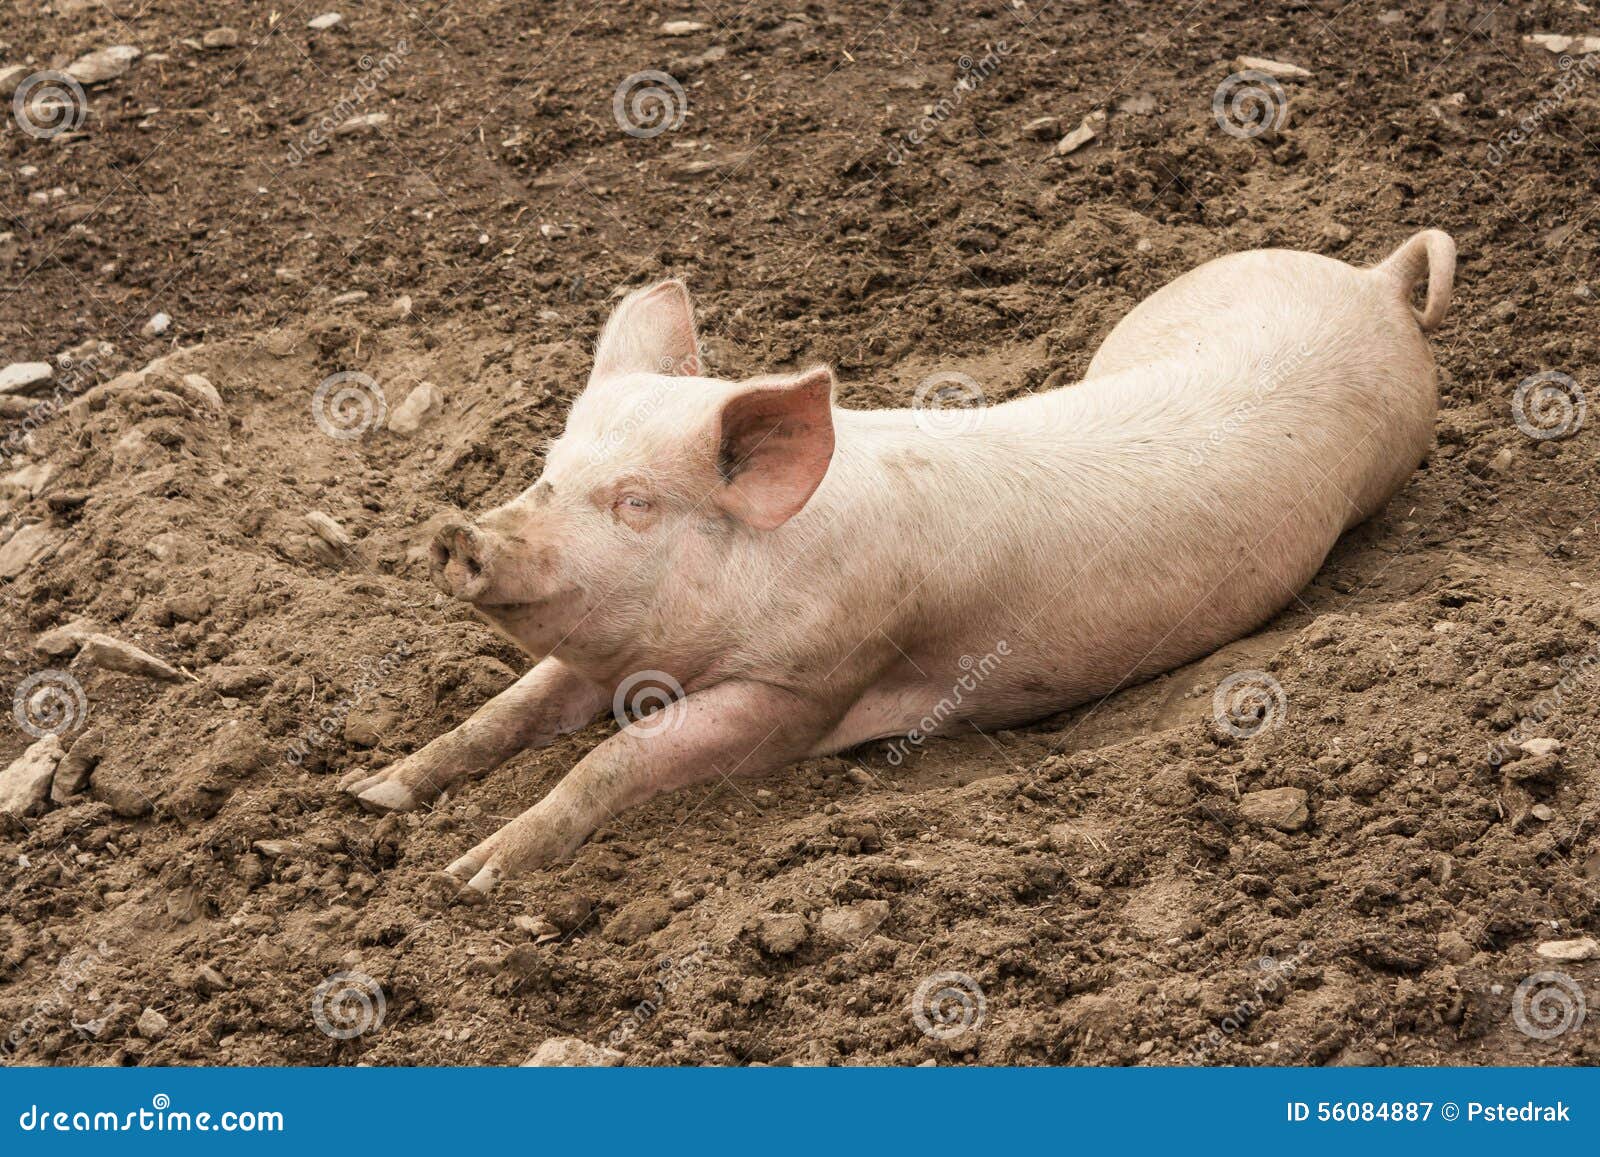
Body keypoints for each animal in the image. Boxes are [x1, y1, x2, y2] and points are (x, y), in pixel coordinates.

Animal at [341, 229, 1455, 897]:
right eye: (547, 470)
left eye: (635, 503)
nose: (459, 532)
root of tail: (1375, 279)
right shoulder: (606, 651)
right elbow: (509, 708)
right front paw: (371, 795)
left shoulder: (809, 685)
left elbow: (617, 756)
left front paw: (467, 876)